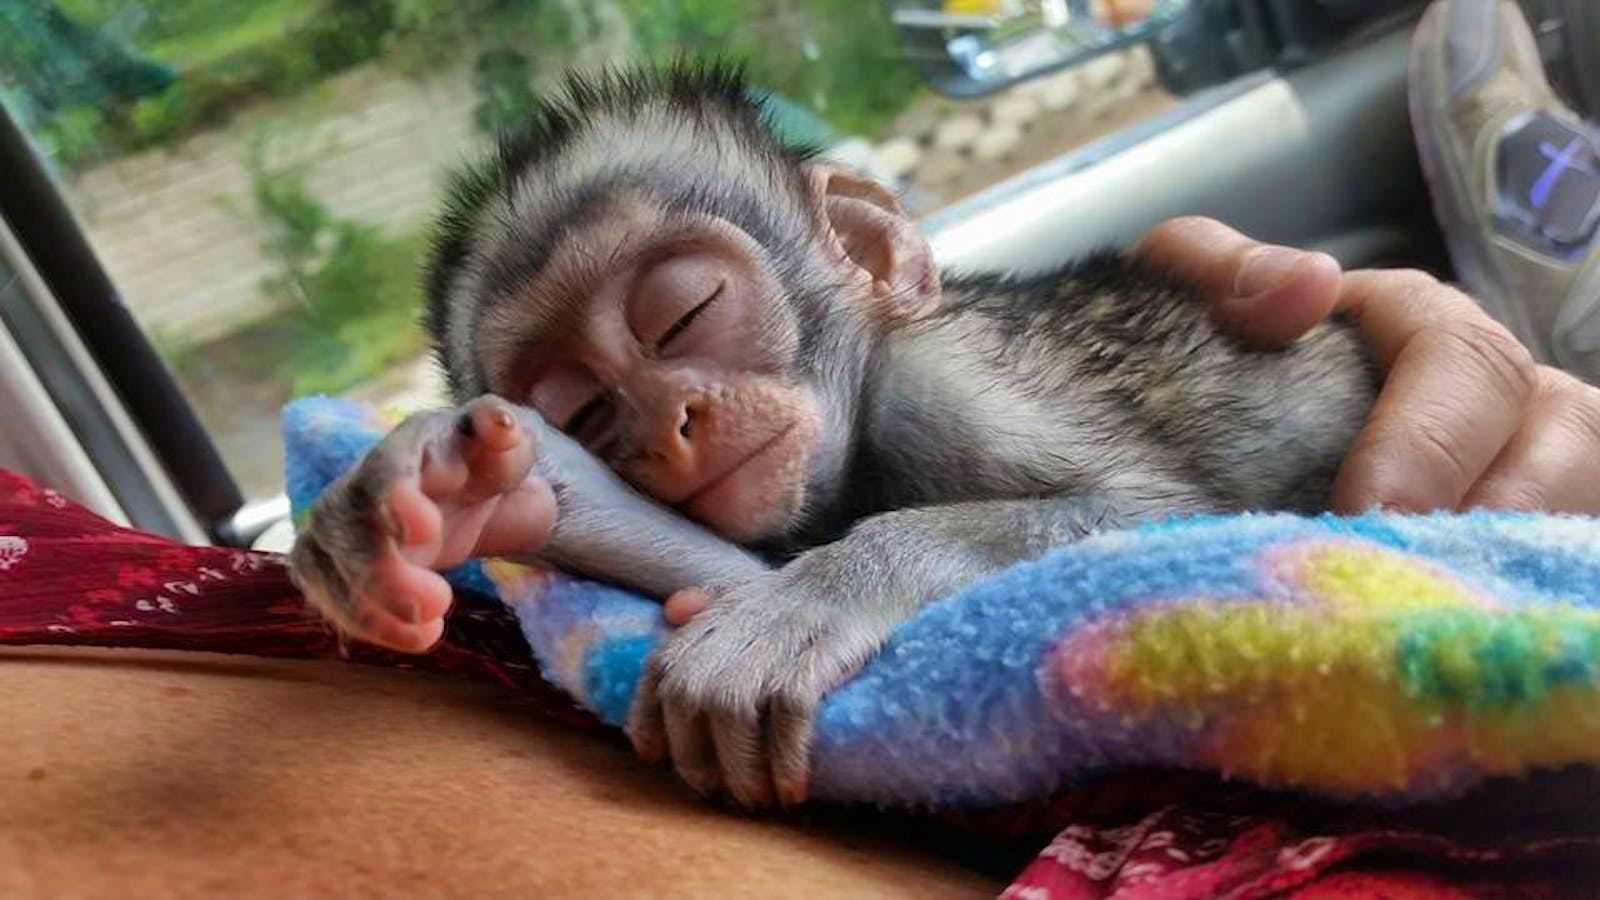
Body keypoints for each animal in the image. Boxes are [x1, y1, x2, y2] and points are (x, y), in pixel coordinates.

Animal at [287, 61, 1376, 810]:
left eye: (684, 315)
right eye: (584, 409)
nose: (674, 424)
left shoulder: (943, 386)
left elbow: (1163, 515)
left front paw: (816, 600)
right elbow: (719, 572)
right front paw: (480, 486)